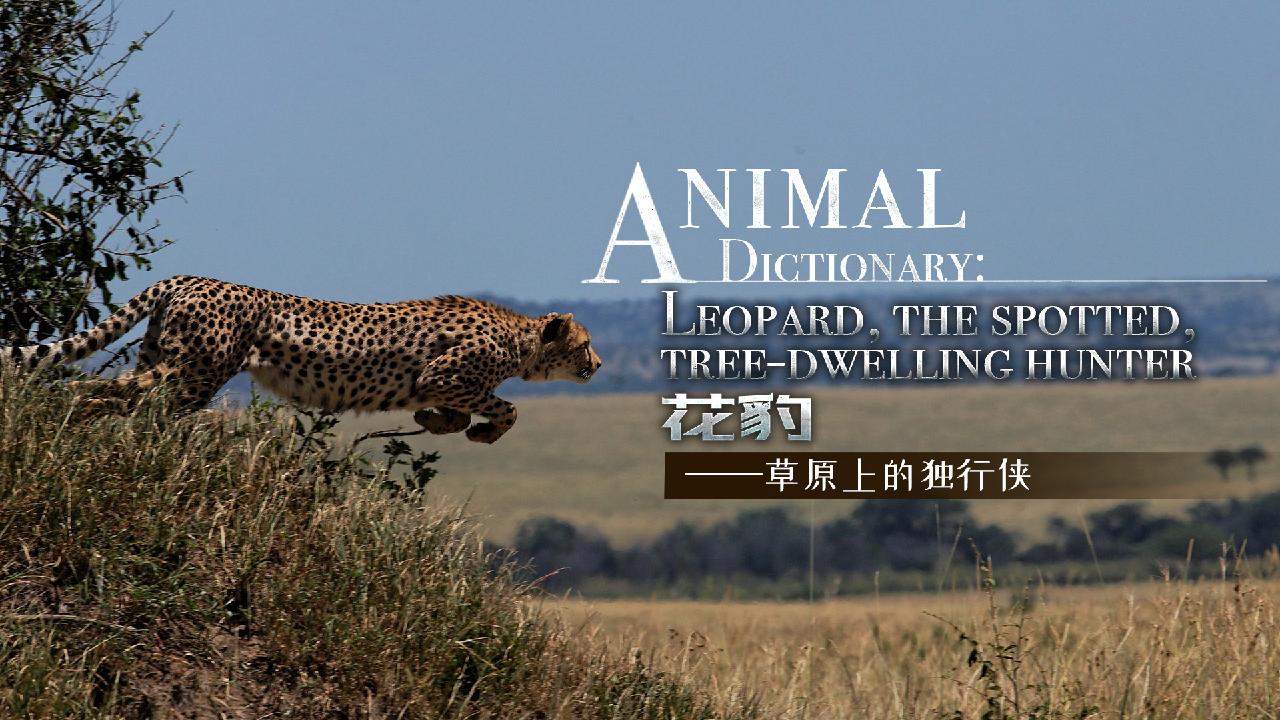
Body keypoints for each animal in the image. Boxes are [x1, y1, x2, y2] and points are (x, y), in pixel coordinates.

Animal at [6, 275, 603, 443]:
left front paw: (437, 422)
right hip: (192, 374)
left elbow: (452, 414)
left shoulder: (439, 382)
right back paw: (65, 421)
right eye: (585, 342)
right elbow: (507, 408)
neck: (522, 341)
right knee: (102, 390)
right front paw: (483, 430)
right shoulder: (445, 373)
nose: (598, 366)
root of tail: (188, 277)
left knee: (126, 395)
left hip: (167, 360)